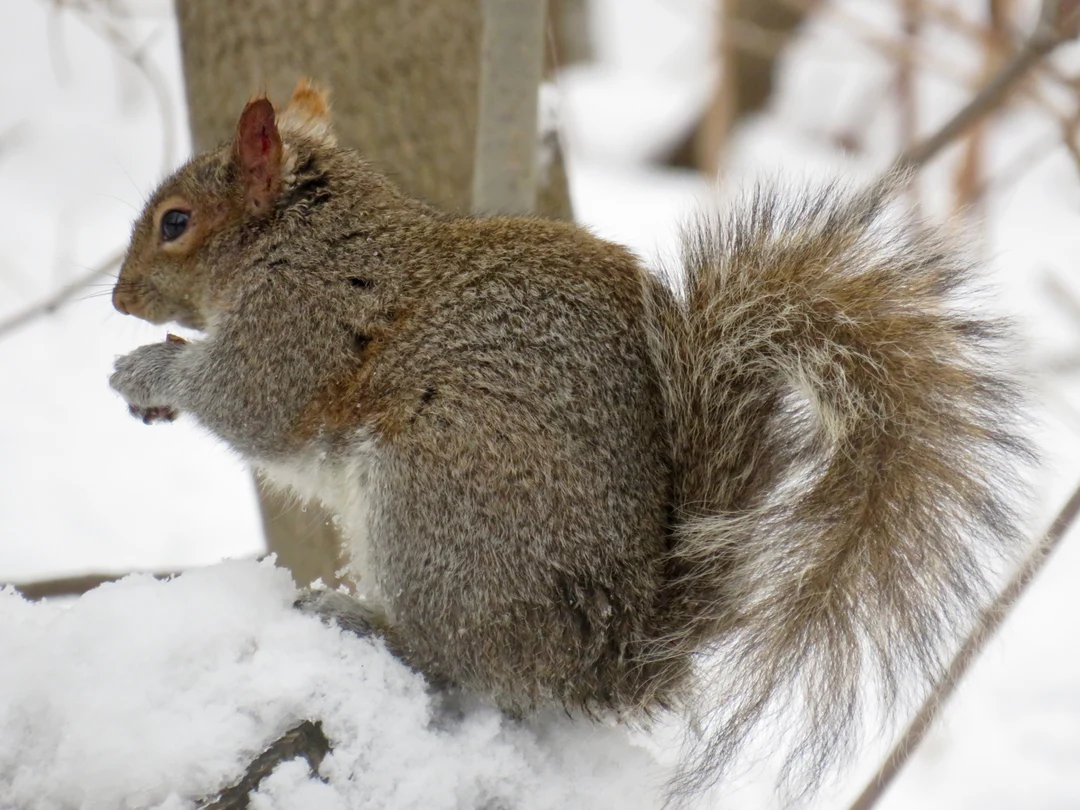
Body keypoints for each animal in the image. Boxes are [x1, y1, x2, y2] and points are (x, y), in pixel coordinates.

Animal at [109, 80, 1029, 799]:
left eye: (175, 222)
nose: (119, 298)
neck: (296, 238)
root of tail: (600, 656)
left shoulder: (300, 324)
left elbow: (247, 402)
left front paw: (148, 374)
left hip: (435, 501)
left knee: (456, 663)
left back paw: (365, 620)